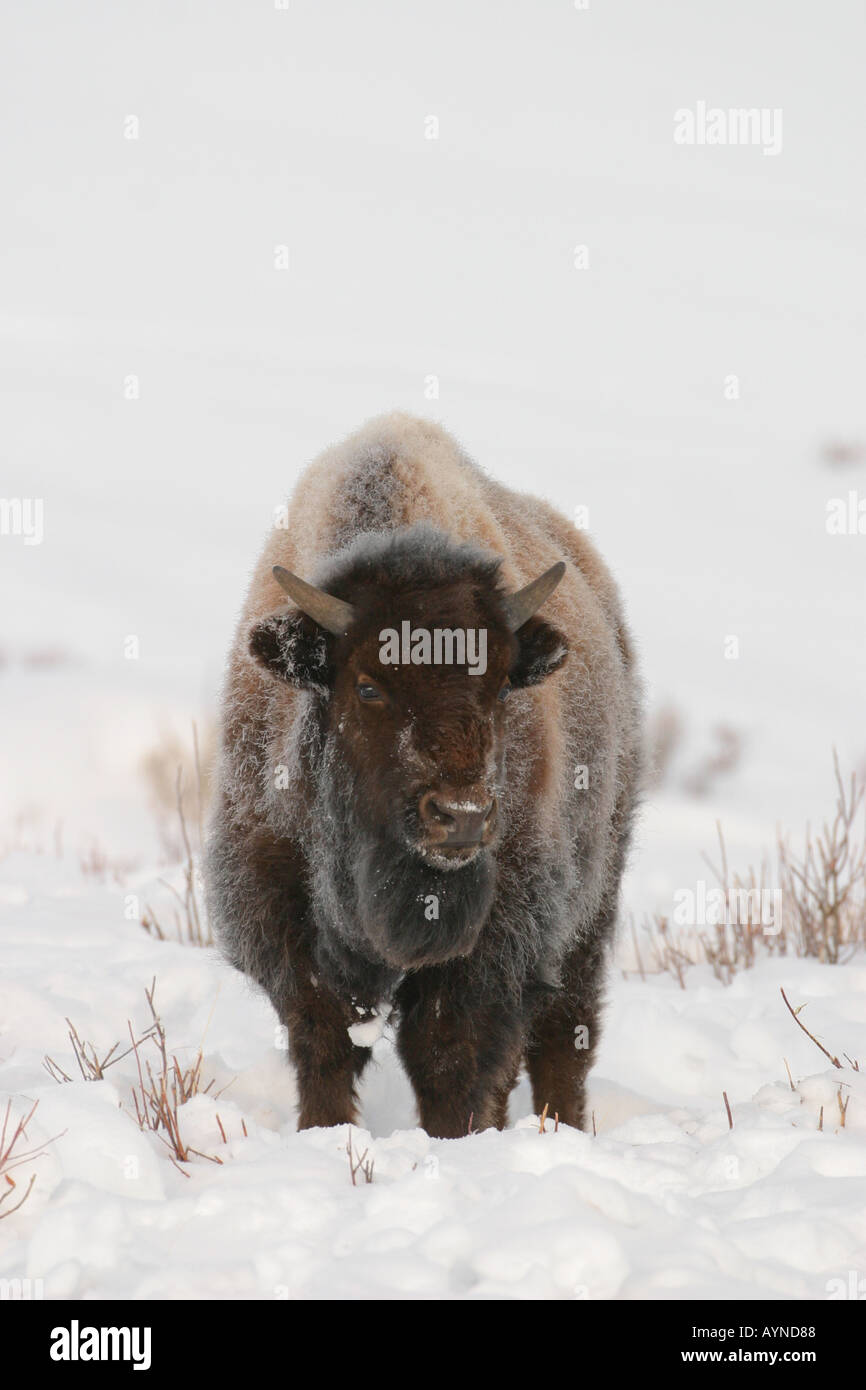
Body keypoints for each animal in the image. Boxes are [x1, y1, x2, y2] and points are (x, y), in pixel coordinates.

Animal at [206, 413, 642, 1138]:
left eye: (501, 684)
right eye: (367, 686)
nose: (460, 816)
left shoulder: (498, 937)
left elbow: (447, 1056)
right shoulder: (281, 910)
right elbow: (323, 1041)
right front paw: (326, 1135)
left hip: (590, 910)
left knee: (563, 1039)